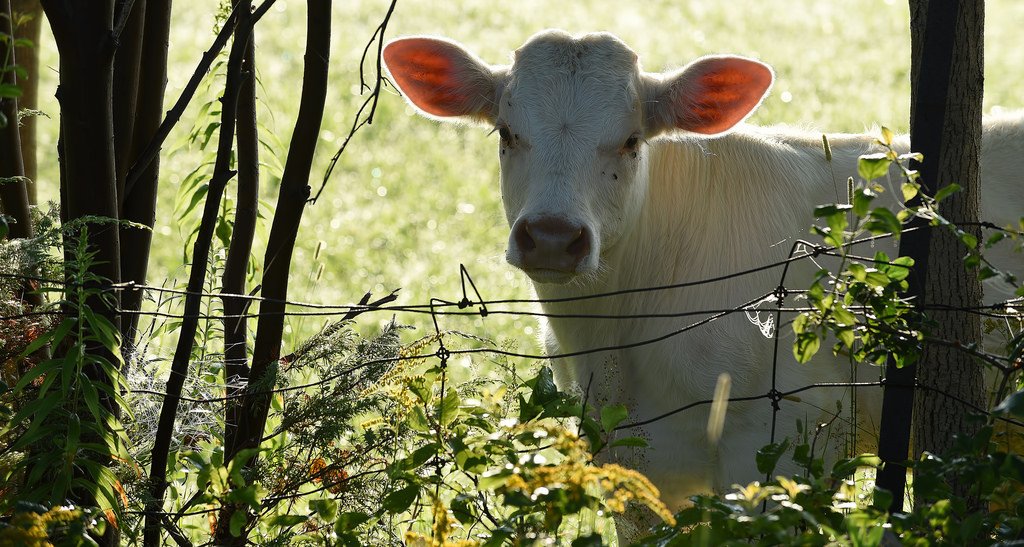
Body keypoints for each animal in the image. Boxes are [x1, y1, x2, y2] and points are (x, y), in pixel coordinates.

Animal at [382, 28, 1023, 532]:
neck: (612, 347)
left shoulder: (779, 449)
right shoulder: (637, 474)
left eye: (631, 141)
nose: (553, 238)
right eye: (507, 133)